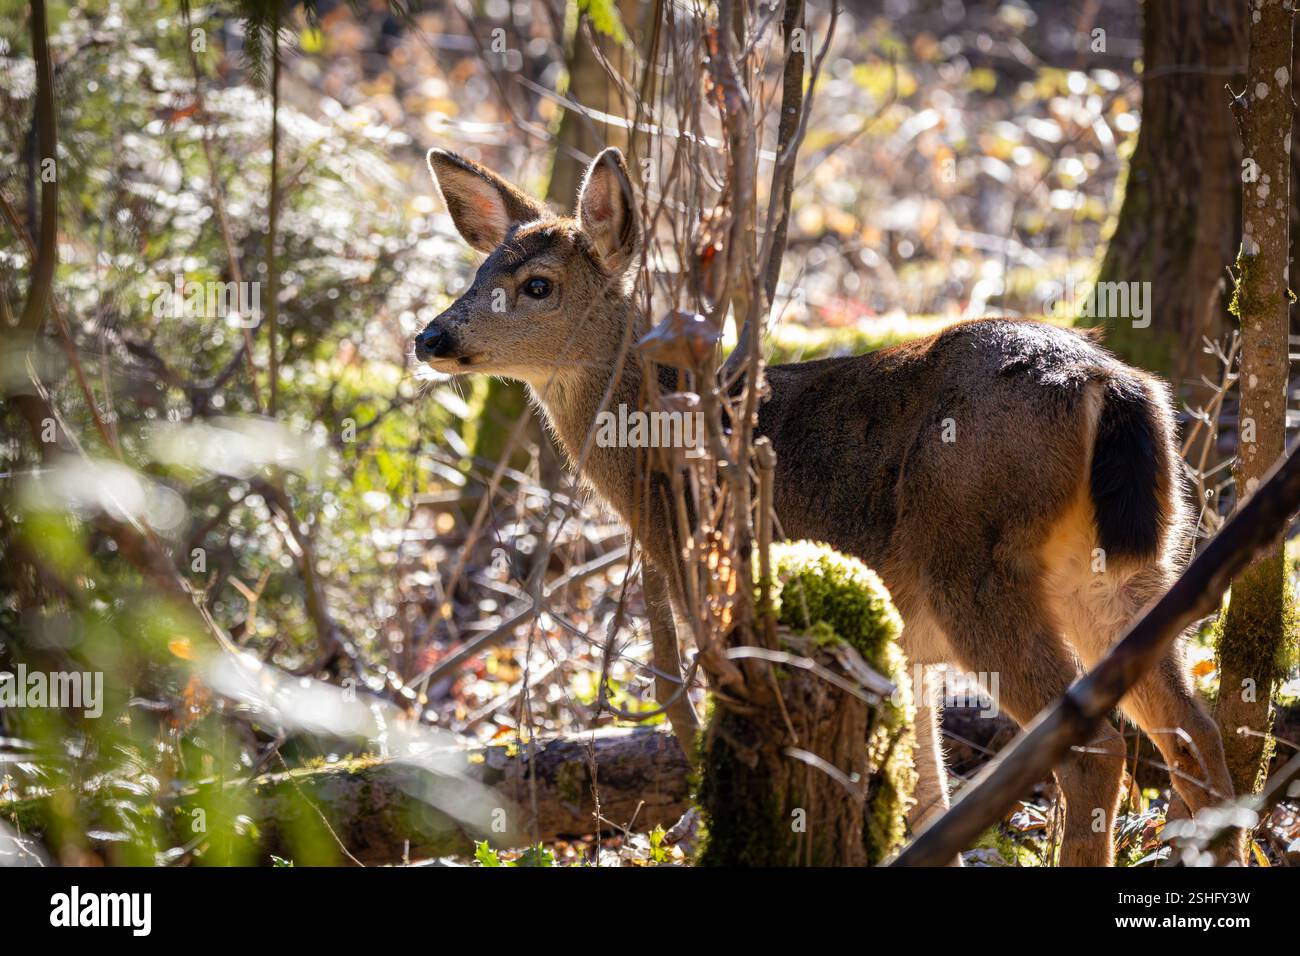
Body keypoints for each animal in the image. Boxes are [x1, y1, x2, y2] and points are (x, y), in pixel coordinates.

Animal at [415, 145, 1238, 867]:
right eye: (479, 270)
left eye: (538, 284)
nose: (430, 335)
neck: (661, 464)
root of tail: (1110, 384)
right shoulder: (902, 646)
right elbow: (927, 792)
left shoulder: (734, 608)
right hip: (1132, 568)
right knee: (1195, 734)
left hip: (975, 568)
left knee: (1098, 747)